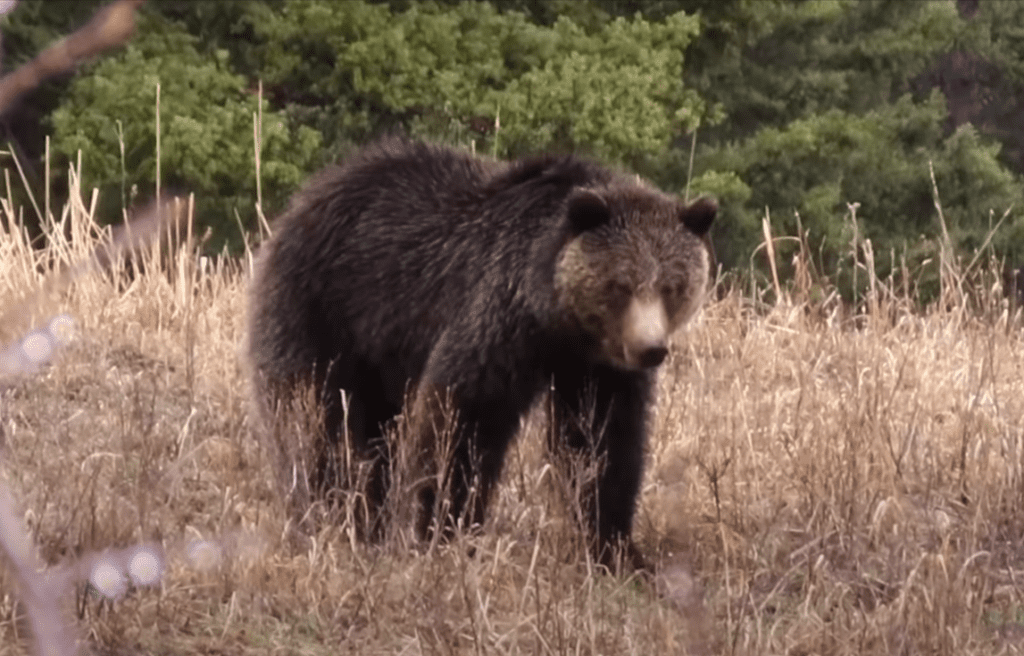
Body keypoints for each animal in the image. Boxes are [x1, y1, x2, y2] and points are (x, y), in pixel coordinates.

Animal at [245, 137, 716, 571]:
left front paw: (619, 551)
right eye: (620, 285)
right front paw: (441, 527)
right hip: (321, 308)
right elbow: (464, 420)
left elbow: (600, 442)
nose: (650, 349)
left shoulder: (595, 368)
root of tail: (305, 198)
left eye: (673, 286)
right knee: (315, 420)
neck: (557, 321)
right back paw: (333, 514)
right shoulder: (497, 316)